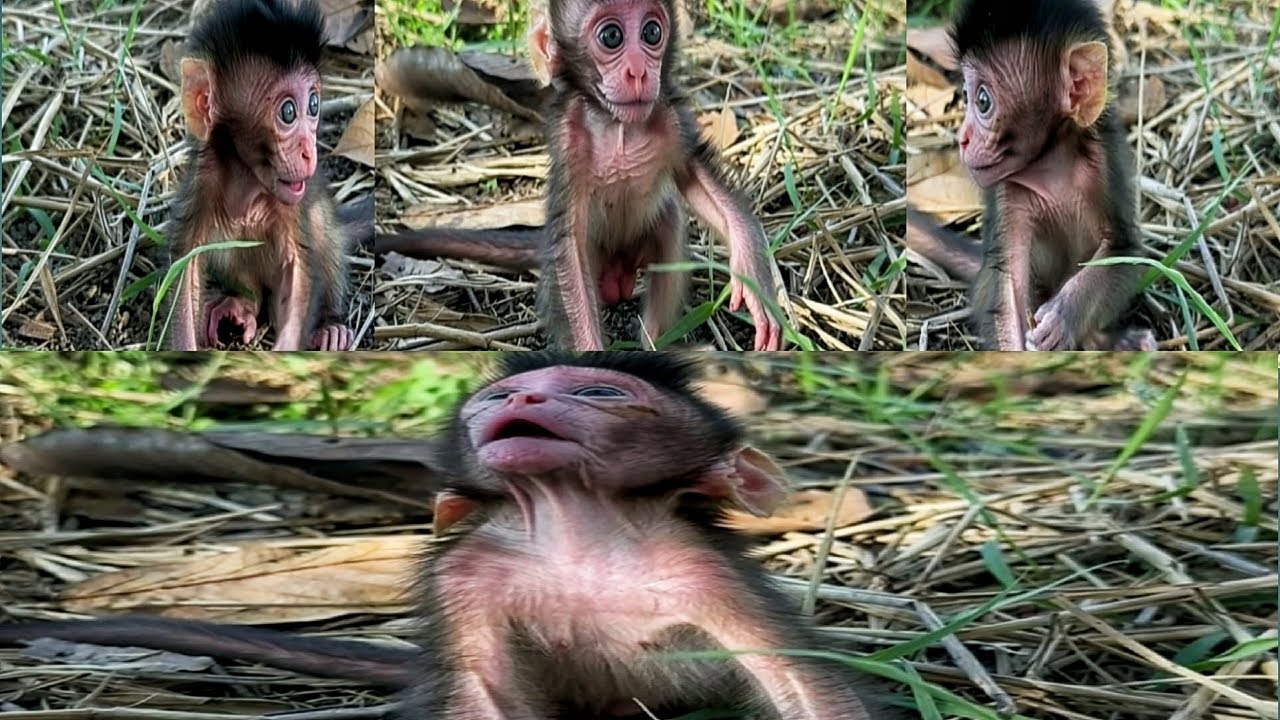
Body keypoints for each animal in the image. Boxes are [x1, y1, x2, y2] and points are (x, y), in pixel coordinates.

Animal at [1, 353, 883, 720]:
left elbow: (800, 683)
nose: (519, 398)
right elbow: (483, 691)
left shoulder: (704, 570)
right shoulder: (469, 574)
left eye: (600, 392)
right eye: (494, 395)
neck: (579, 533)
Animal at [166, 0, 356, 351]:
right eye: (288, 112)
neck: (248, 183)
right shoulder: (202, 184)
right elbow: (186, 269)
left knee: (319, 225)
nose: (309, 150)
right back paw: (239, 305)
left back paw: (329, 325)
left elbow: (298, 274)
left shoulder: (289, 205)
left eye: (313, 104)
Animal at [376, 0, 783, 351]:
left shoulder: (670, 116)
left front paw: (754, 278)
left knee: (668, 224)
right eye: (611, 37)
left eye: (652, 32)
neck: (618, 127)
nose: (639, 72)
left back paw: (656, 343)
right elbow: (569, 241)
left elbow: (698, 180)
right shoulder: (569, 137)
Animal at [903, 0, 1156, 351]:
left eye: (982, 101)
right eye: (965, 96)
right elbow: (1008, 285)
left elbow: (1122, 248)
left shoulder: (1107, 163)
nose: (963, 139)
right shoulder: (1008, 189)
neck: (1051, 165)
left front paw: (1063, 316)